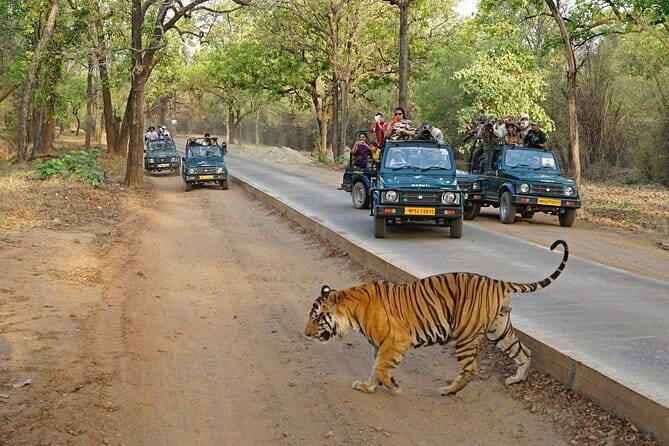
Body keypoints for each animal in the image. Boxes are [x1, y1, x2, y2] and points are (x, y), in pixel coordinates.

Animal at [304, 239, 568, 396]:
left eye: (316, 318)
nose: (306, 334)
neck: (352, 312)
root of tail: (497, 282)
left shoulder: (396, 340)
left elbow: (380, 367)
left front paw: (393, 387)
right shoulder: (379, 345)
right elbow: (374, 367)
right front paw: (367, 386)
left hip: (465, 334)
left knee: (471, 369)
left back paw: (448, 390)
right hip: (499, 330)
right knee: (524, 352)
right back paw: (516, 380)